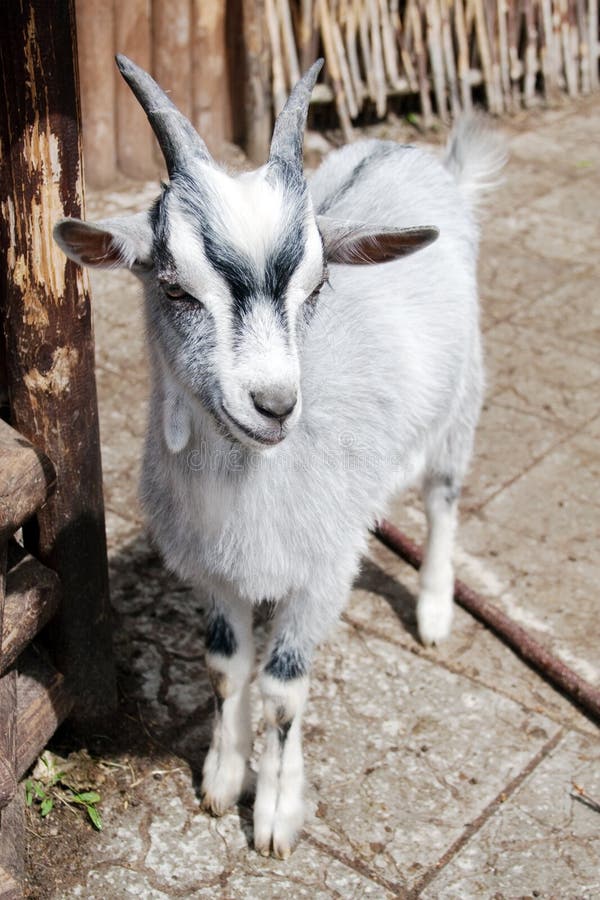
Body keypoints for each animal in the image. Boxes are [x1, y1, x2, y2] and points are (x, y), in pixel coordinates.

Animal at [54, 55, 505, 859]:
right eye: (173, 285)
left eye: (317, 284)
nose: (274, 404)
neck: (252, 482)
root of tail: (419, 157)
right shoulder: (214, 567)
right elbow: (226, 668)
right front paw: (223, 777)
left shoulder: (324, 568)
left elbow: (284, 687)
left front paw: (274, 814)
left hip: (460, 407)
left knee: (444, 499)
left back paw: (433, 610)